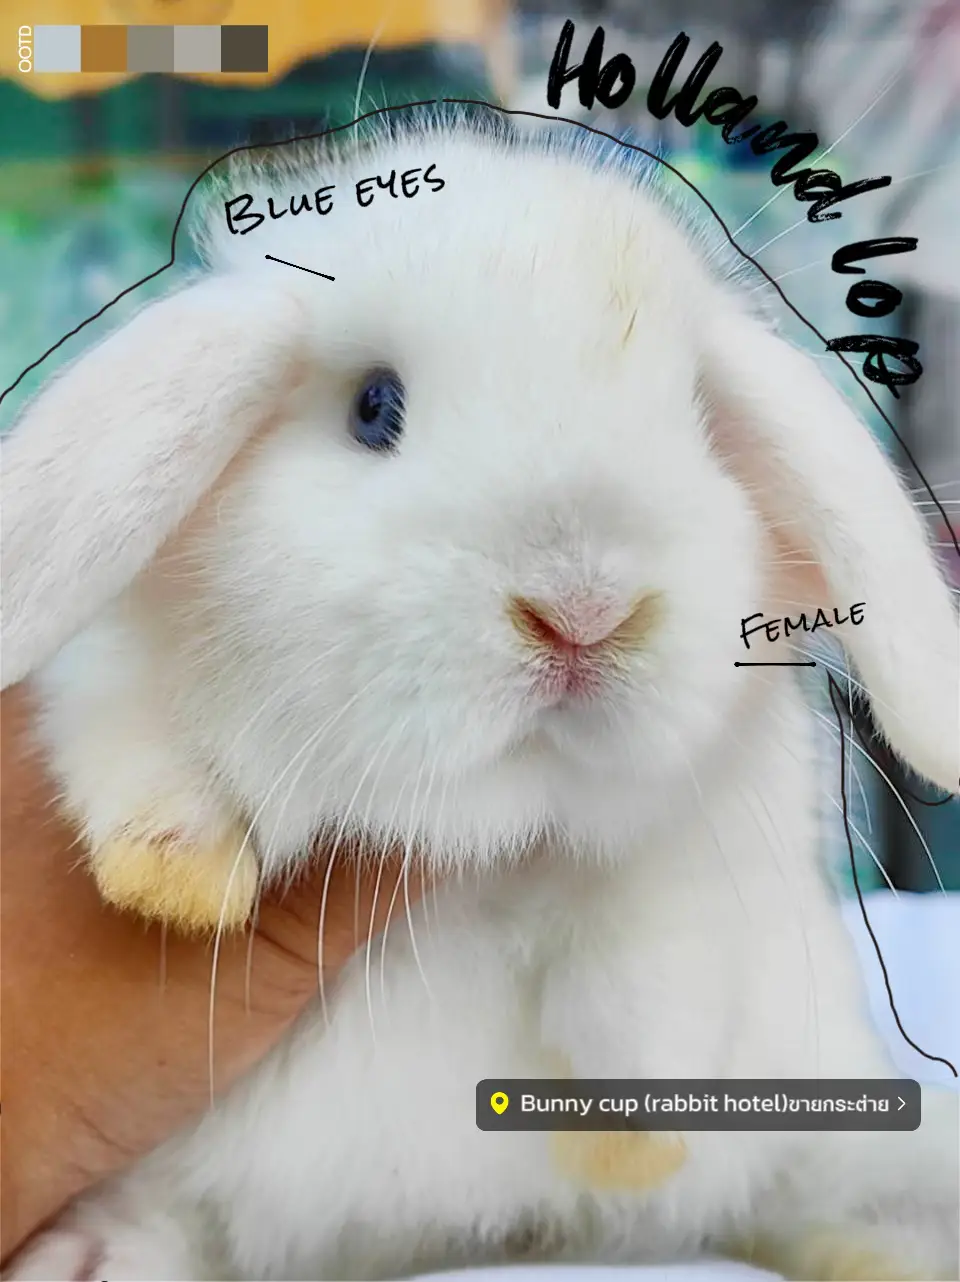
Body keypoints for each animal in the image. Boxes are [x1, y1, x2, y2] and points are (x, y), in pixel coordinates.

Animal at [3, 111, 959, 1282]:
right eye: (375, 408)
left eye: (697, 420)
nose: (584, 610)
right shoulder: (110, 681)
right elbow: (130, 748)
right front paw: (176, 880)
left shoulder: (697, 861)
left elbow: (651, 985)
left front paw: (630, 1155)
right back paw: (86, 1255)